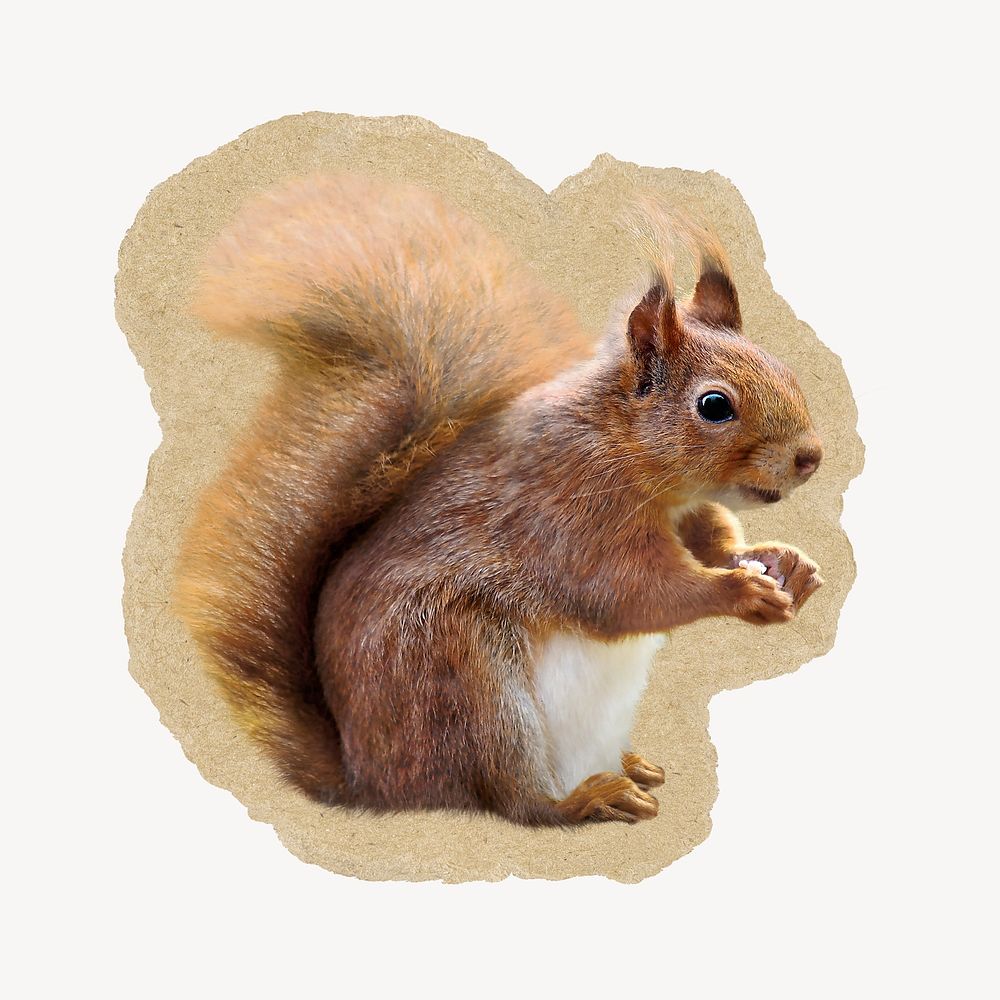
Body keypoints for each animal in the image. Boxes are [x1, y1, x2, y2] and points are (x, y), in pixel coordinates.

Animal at [176, 173, 824, 827]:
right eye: (714, 405)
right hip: (466, 679)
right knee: (512, 799)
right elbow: (631, 593)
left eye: (785, 369)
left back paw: (629, 766)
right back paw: (586, 798)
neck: (631, 454)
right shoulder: (572, 514)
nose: (812, 456)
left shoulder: (687, 512)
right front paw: (739, 591)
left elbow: (712, 541)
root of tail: (371, 782)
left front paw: (785, 564)